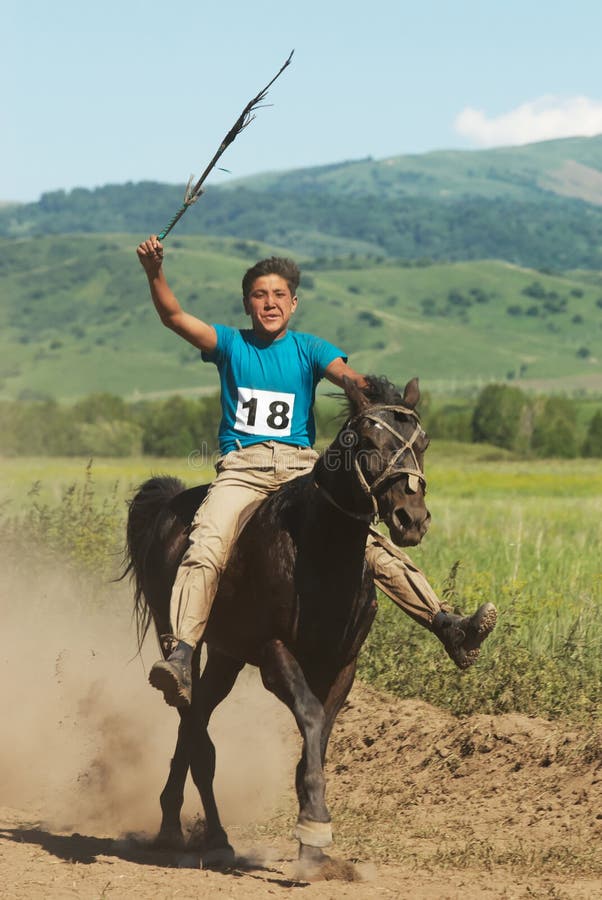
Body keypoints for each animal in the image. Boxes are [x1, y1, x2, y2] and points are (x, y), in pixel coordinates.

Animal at [124, 375, 430, 869]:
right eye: (365, 441)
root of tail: (168, 506)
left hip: (226, 656)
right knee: (195, 727)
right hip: (179, 637)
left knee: (196, 723)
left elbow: (318, 739)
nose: (411, 518)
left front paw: (313, 840)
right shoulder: (274, 655)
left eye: (422, 443)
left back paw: (190, 827)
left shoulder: (343, 664)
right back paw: (194, 833)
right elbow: (309, 715)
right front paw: (316, 827)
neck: (320, 550)